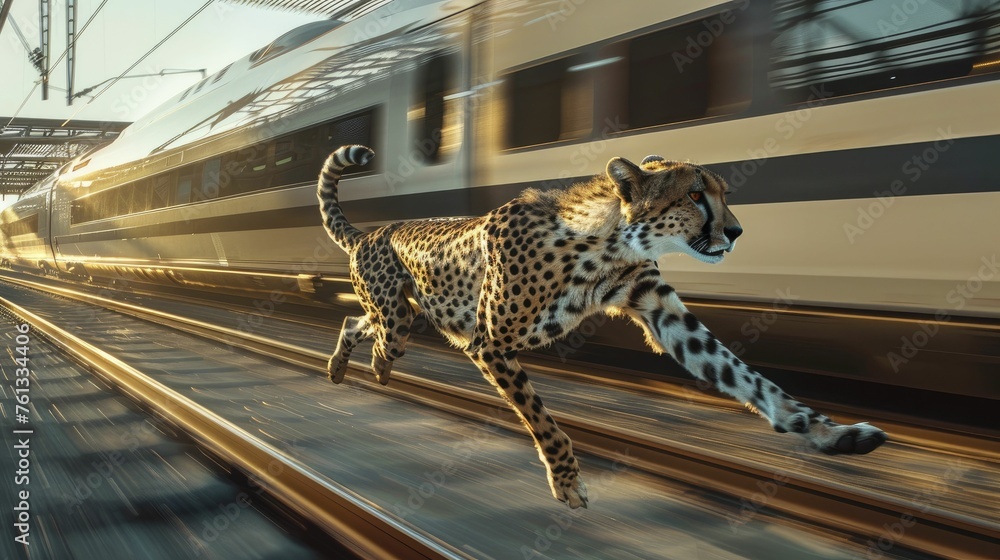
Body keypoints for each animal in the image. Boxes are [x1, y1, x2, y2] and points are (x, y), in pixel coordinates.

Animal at [317, 144, 887, 509]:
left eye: (721, 193)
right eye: (694, 195)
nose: (736, 231)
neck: (609, 240)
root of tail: (370, 233)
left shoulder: (661, 312)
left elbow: (752, 380)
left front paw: (832, 434)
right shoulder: (490, 343)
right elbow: (542, 420)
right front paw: (567, 482)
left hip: (402, 316)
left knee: (358, 323)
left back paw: (355, 368)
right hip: (400, 316)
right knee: (372, 327)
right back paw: (362, 367)